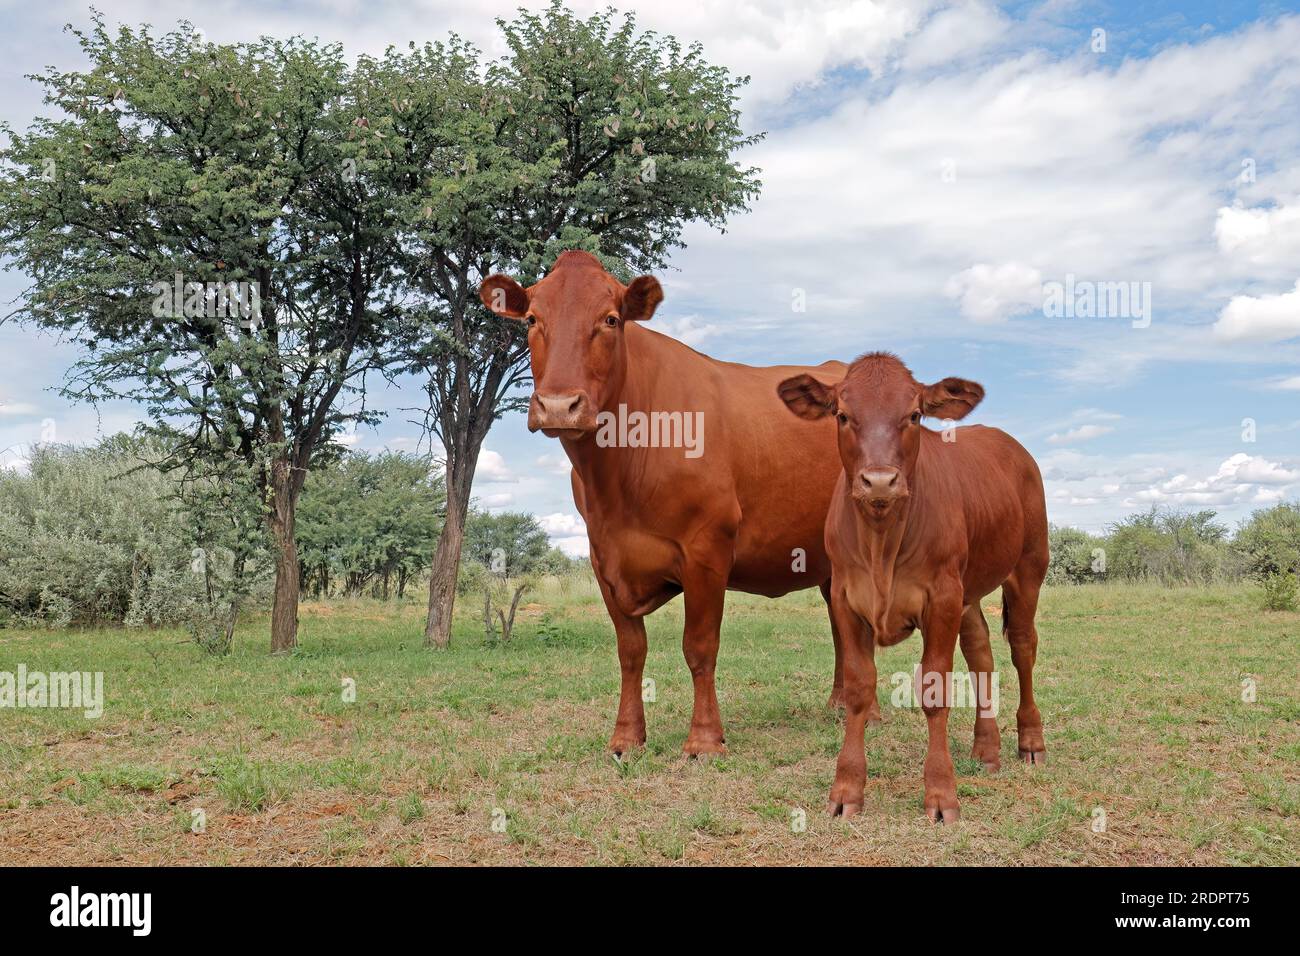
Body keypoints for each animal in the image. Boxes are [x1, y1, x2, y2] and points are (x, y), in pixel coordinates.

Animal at [477, 250, 910, 756]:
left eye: (610, 319)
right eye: (531, 319)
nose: (559, 405)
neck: (616, 481)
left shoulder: (706, 548)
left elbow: (699, 647)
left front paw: (704, 738)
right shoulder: (603, 556)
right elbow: (630, 651)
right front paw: (626, 736)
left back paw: (869, 712)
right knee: (839, 619)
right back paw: (840, 703)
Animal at [778, 352, 1048, 822]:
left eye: (915, 415)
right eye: (842, 415)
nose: (879, 481)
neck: (881, 543)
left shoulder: (941, 597)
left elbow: (935, 690)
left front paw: (941, 792)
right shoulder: (846, 598)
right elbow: (858, 688)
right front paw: (846, 788)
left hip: (1029, 567)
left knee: (1022, 646)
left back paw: (1030, 739)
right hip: (969, 591)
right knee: (981, 652)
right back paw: (986, 747)